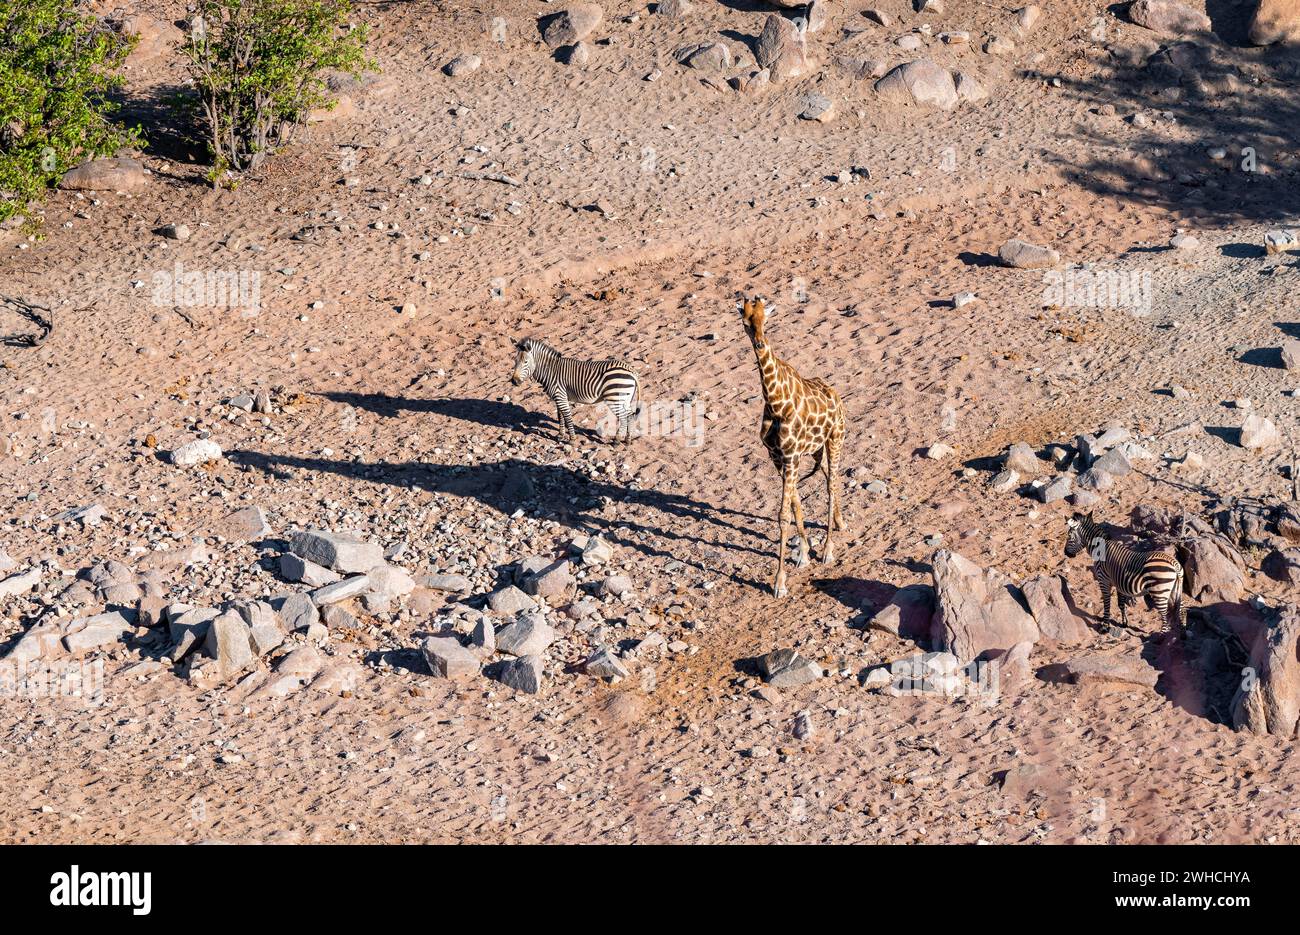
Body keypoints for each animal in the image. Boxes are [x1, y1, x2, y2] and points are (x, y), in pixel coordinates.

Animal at [510, 337, 639, 443]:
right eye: (515, 361)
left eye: (525, 362)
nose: (514, 381)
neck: (550, 370)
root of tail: (630, 369)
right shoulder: (559, 397)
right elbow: (560, 416)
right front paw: (560, 435)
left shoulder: (560, 395)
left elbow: (567, 416)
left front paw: (572, 439)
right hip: (625, 399)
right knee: (630, 415)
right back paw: (628, 439)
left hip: (614, 398)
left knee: (623, 417)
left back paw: (617, 440)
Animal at [740, 297, 846, 598]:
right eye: (746, 322)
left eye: (766, 320)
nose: (760, 344)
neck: (776, 402)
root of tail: (835, 394)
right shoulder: (779, 457)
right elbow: (795, 506)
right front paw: (803, 553)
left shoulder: (790, 457)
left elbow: (783, 515)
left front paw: (779, 583)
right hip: (816, 449)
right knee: (828, 477)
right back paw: (840, 522)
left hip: (835, 439)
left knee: (831, 485)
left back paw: (828, 550)